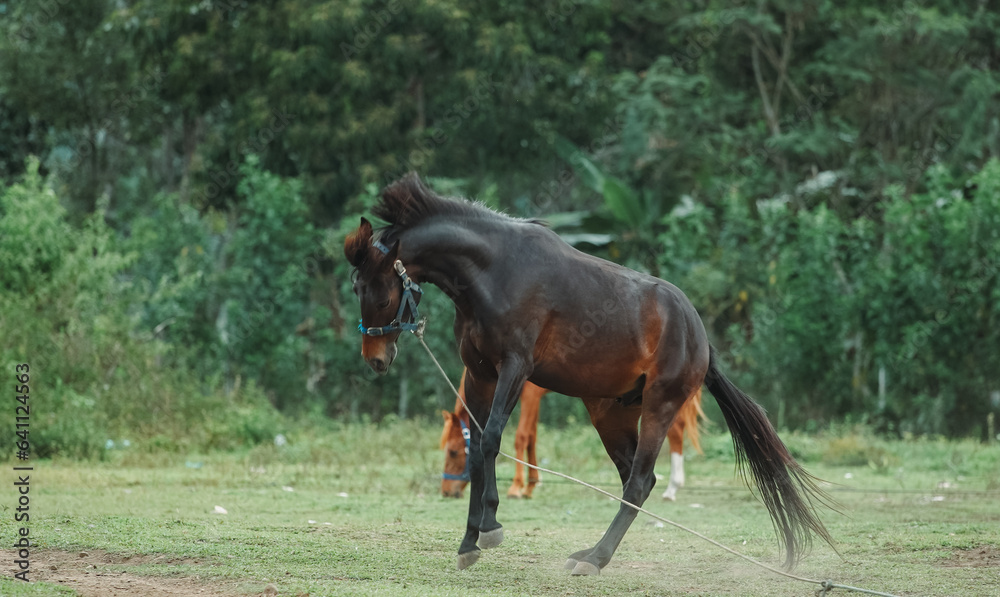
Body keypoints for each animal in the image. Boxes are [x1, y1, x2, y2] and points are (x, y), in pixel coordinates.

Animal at [440, 368, 706, 501]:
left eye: (452, 452)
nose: (445, 491)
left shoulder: (530, 393)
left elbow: (522, 436)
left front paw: (516, 487)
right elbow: (533, 437)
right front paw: (530, 486)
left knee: (676, 429)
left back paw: (672, 488)